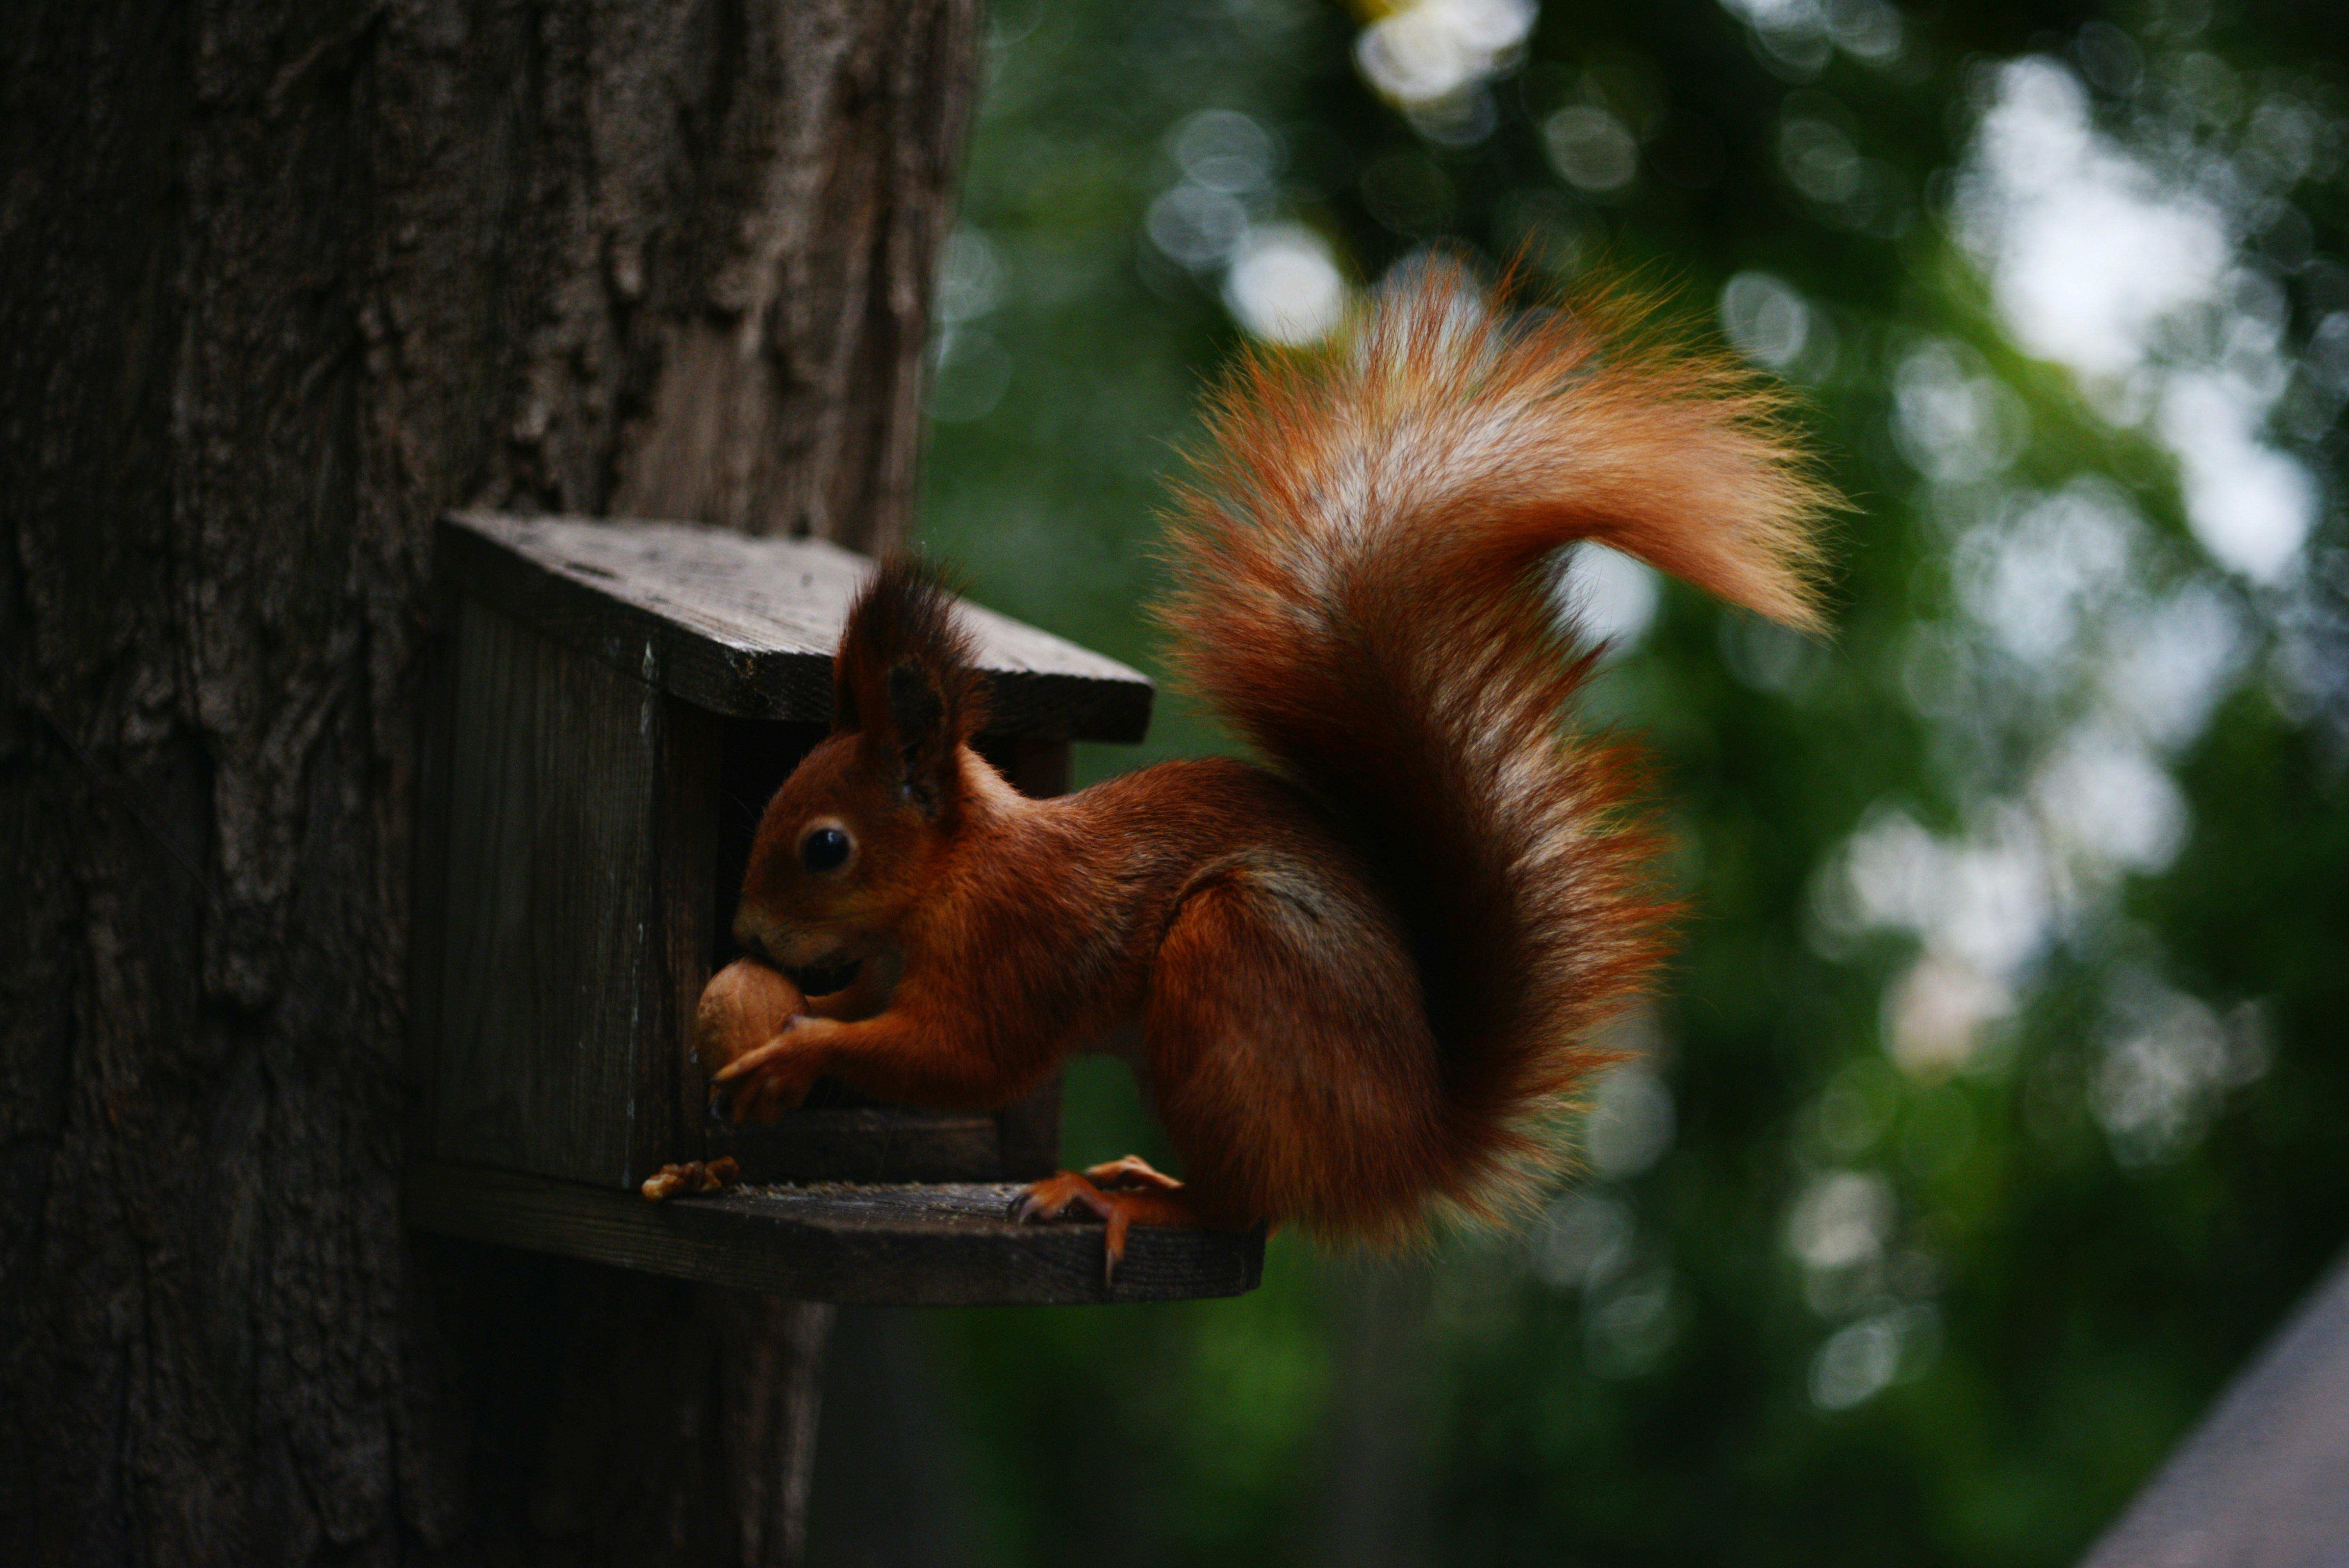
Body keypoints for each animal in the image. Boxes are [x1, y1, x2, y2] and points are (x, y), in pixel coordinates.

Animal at [708, 264, 1831, 1270]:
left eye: (825, 847)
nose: (747, 936)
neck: (949, 877)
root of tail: (1401, 1155)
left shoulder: (1018, 946)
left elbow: (964, 1057)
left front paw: (800, 1047)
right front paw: (793, 1033)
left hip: (1234, 967)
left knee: (1244, 1209)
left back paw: (1121, 1199)